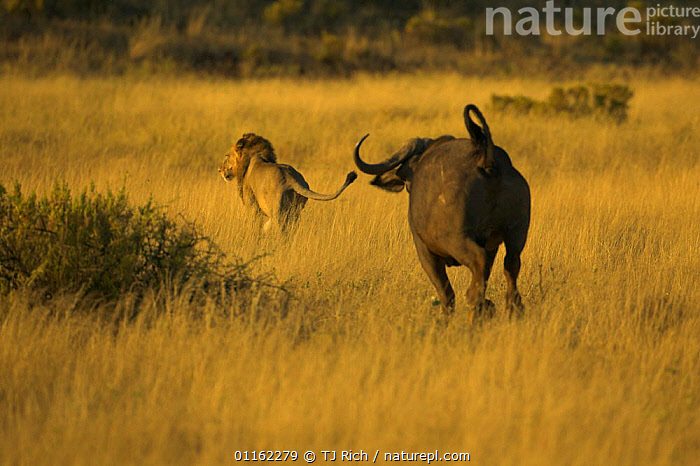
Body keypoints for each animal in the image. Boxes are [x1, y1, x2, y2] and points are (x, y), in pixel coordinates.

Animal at [219, 133, 357, 232]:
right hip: (296, 213)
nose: (220, 170)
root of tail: (291, 178)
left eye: (226, 156)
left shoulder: (252, 205)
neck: (257, 154)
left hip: (277, 212)